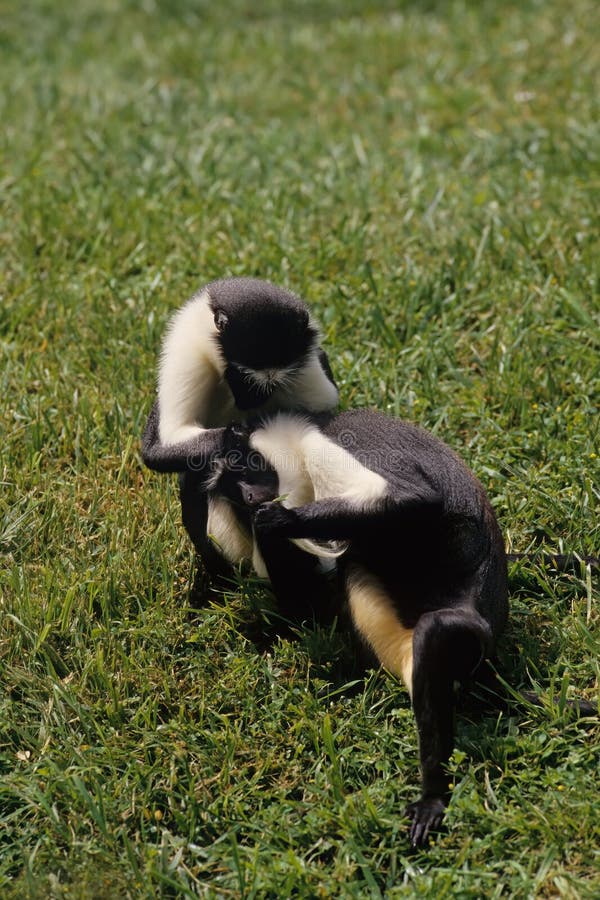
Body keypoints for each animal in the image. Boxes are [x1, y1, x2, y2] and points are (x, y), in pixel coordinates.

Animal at [140, 277, 339, 580]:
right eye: (242, 376)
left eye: (270, 384)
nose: (251, 402)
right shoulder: (189, 355)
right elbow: (157, 451)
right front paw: (241, 438)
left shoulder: (305, 364)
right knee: (193, 472)